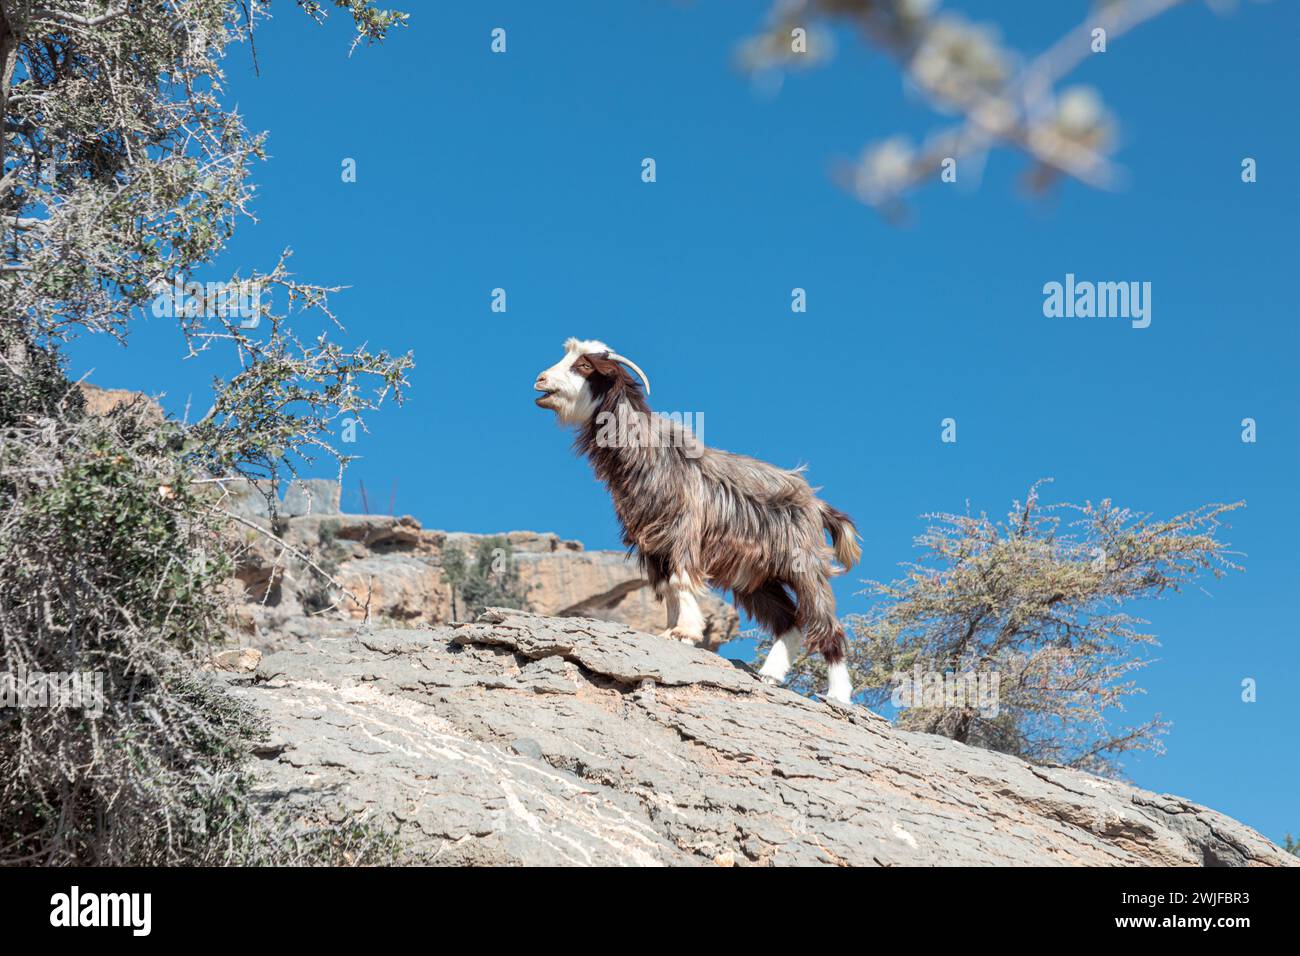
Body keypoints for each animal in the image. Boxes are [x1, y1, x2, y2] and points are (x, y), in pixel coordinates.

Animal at [534, 338, 861, 703]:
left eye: (584, 366)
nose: (540, 381)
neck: (652, 453)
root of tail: (817, 503)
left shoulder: (682, 531)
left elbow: (681, 581)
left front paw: (687, 632)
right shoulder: (653, 543)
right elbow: (667, 588)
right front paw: (670, 631)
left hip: (804, 564)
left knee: (826, 623)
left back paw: (838, 694)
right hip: (756, 576)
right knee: (789, 620)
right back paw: (771, 675)